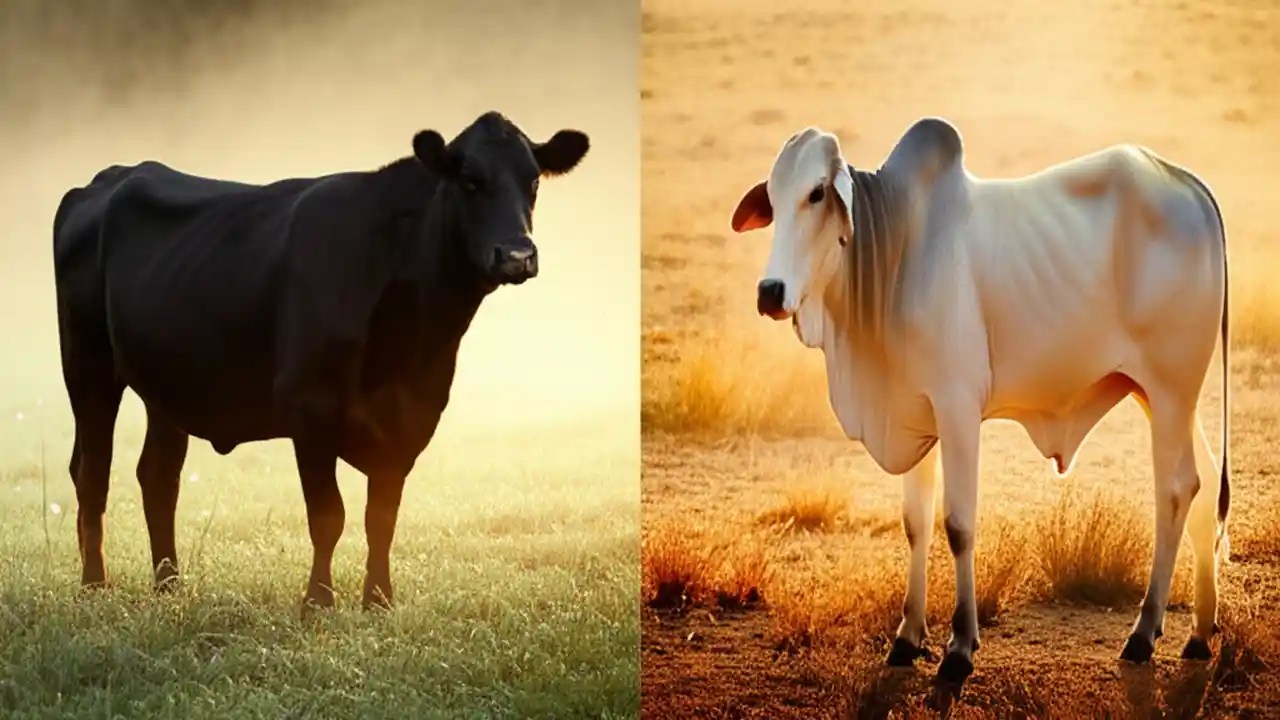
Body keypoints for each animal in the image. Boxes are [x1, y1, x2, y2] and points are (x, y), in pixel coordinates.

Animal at [53, 111, 589, 611]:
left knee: (158, 476)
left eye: (533, 180)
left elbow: (382, 517)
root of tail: (114, 175)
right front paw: (318, 601)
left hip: (168, 384)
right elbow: (328, 515)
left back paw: (168, 586)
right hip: (87, 365)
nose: (517, 255)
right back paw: (95, 585)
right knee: (92, 472)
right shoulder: (310, 409)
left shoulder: (412, 417)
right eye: (470, 179)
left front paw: (379, 600)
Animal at [730, 118, 1229, 683]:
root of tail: (1187, 183)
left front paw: (960, 647)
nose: (770, 291)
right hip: (1165, 397)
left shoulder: (958, 408)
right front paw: (907, 638)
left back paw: (1144, 634)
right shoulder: (913, 412)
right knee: (1204, 487)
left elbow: (958, 523)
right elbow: (915, 522)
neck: (893, 250)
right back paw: (1199, 634)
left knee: (1175, 489)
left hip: (1170, 389)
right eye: (773, 196)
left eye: (816, 193)